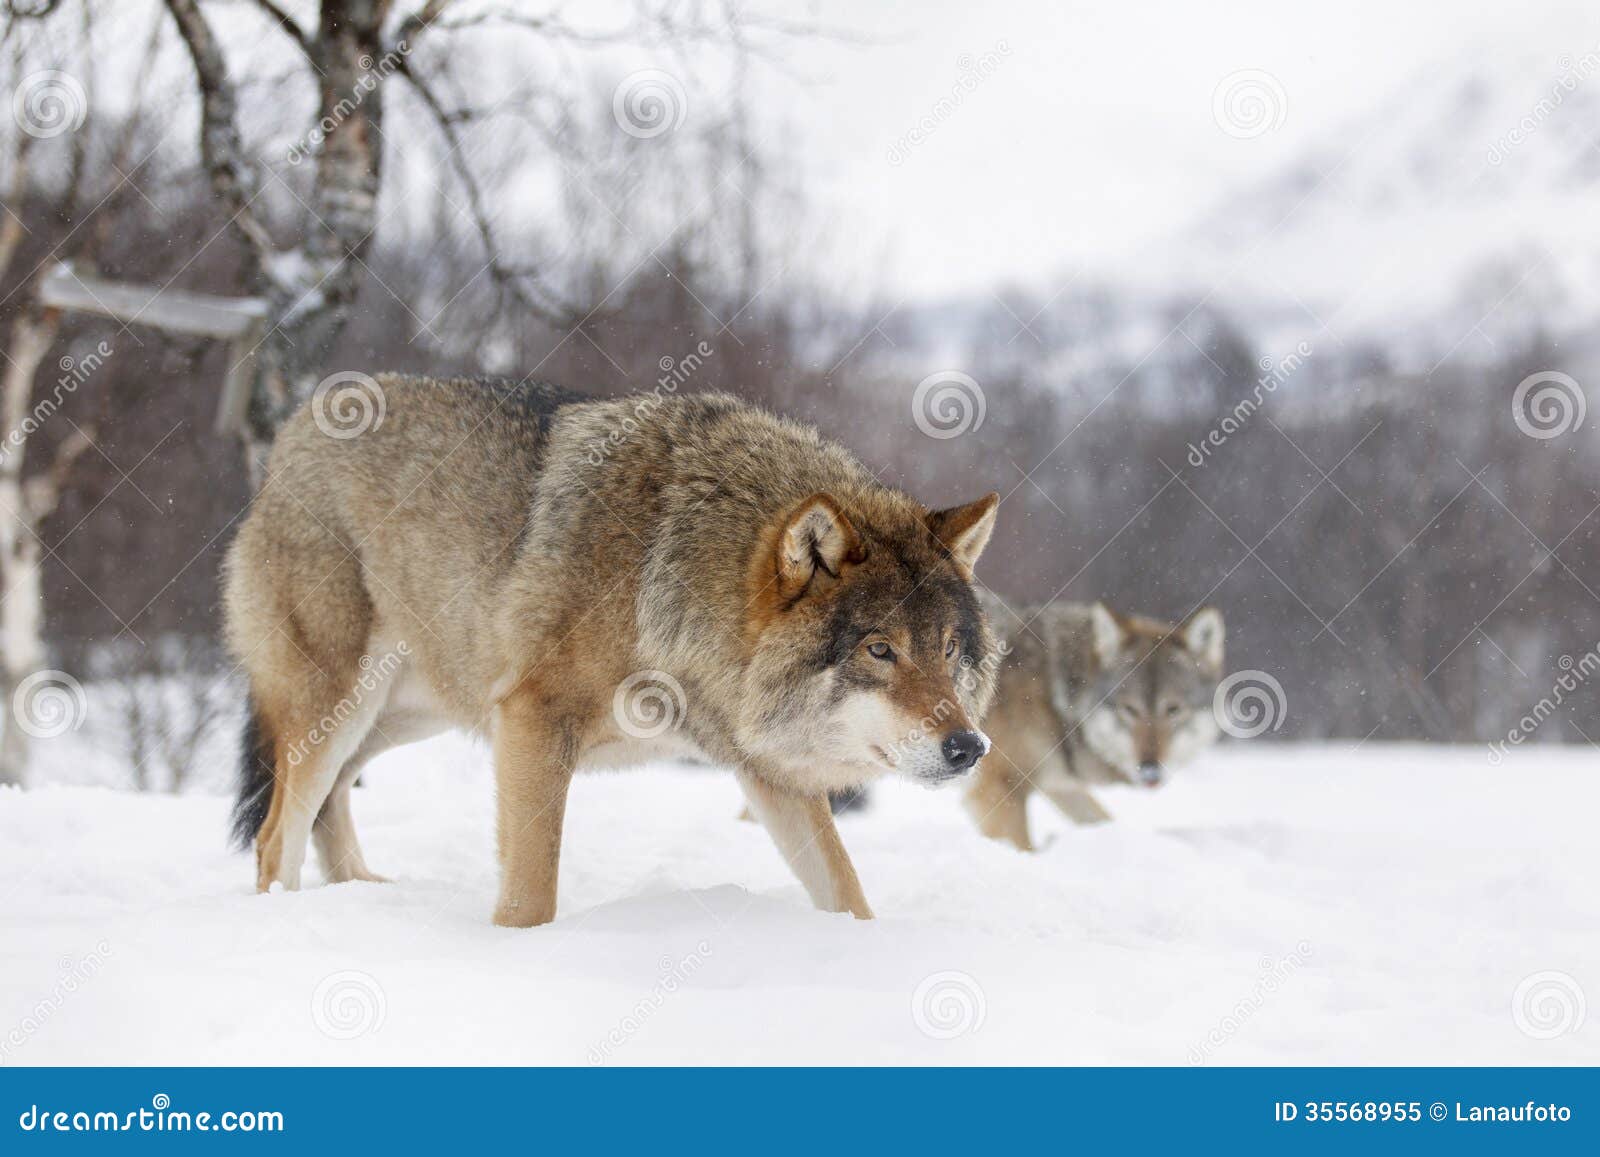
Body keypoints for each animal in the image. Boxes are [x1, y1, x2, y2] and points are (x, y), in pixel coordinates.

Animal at [222, 376, 1000, 926]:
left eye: (949, 648)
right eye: (880, 649)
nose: (969, 746)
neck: (670, 574)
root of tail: (296, 425)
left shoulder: (768, 771)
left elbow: (847, 888)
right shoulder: (534, 722)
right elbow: (530, 896)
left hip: (418, 714)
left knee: (325, 804)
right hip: (342, 706)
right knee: (275, 834)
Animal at [963, 593, 1224, 850]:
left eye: (1173, 710)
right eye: (1130, 710)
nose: (1150, 772)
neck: (1054, 696)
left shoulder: (1059, 785)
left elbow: (1101, 819)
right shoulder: (999, 788)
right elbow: (1021, 847)